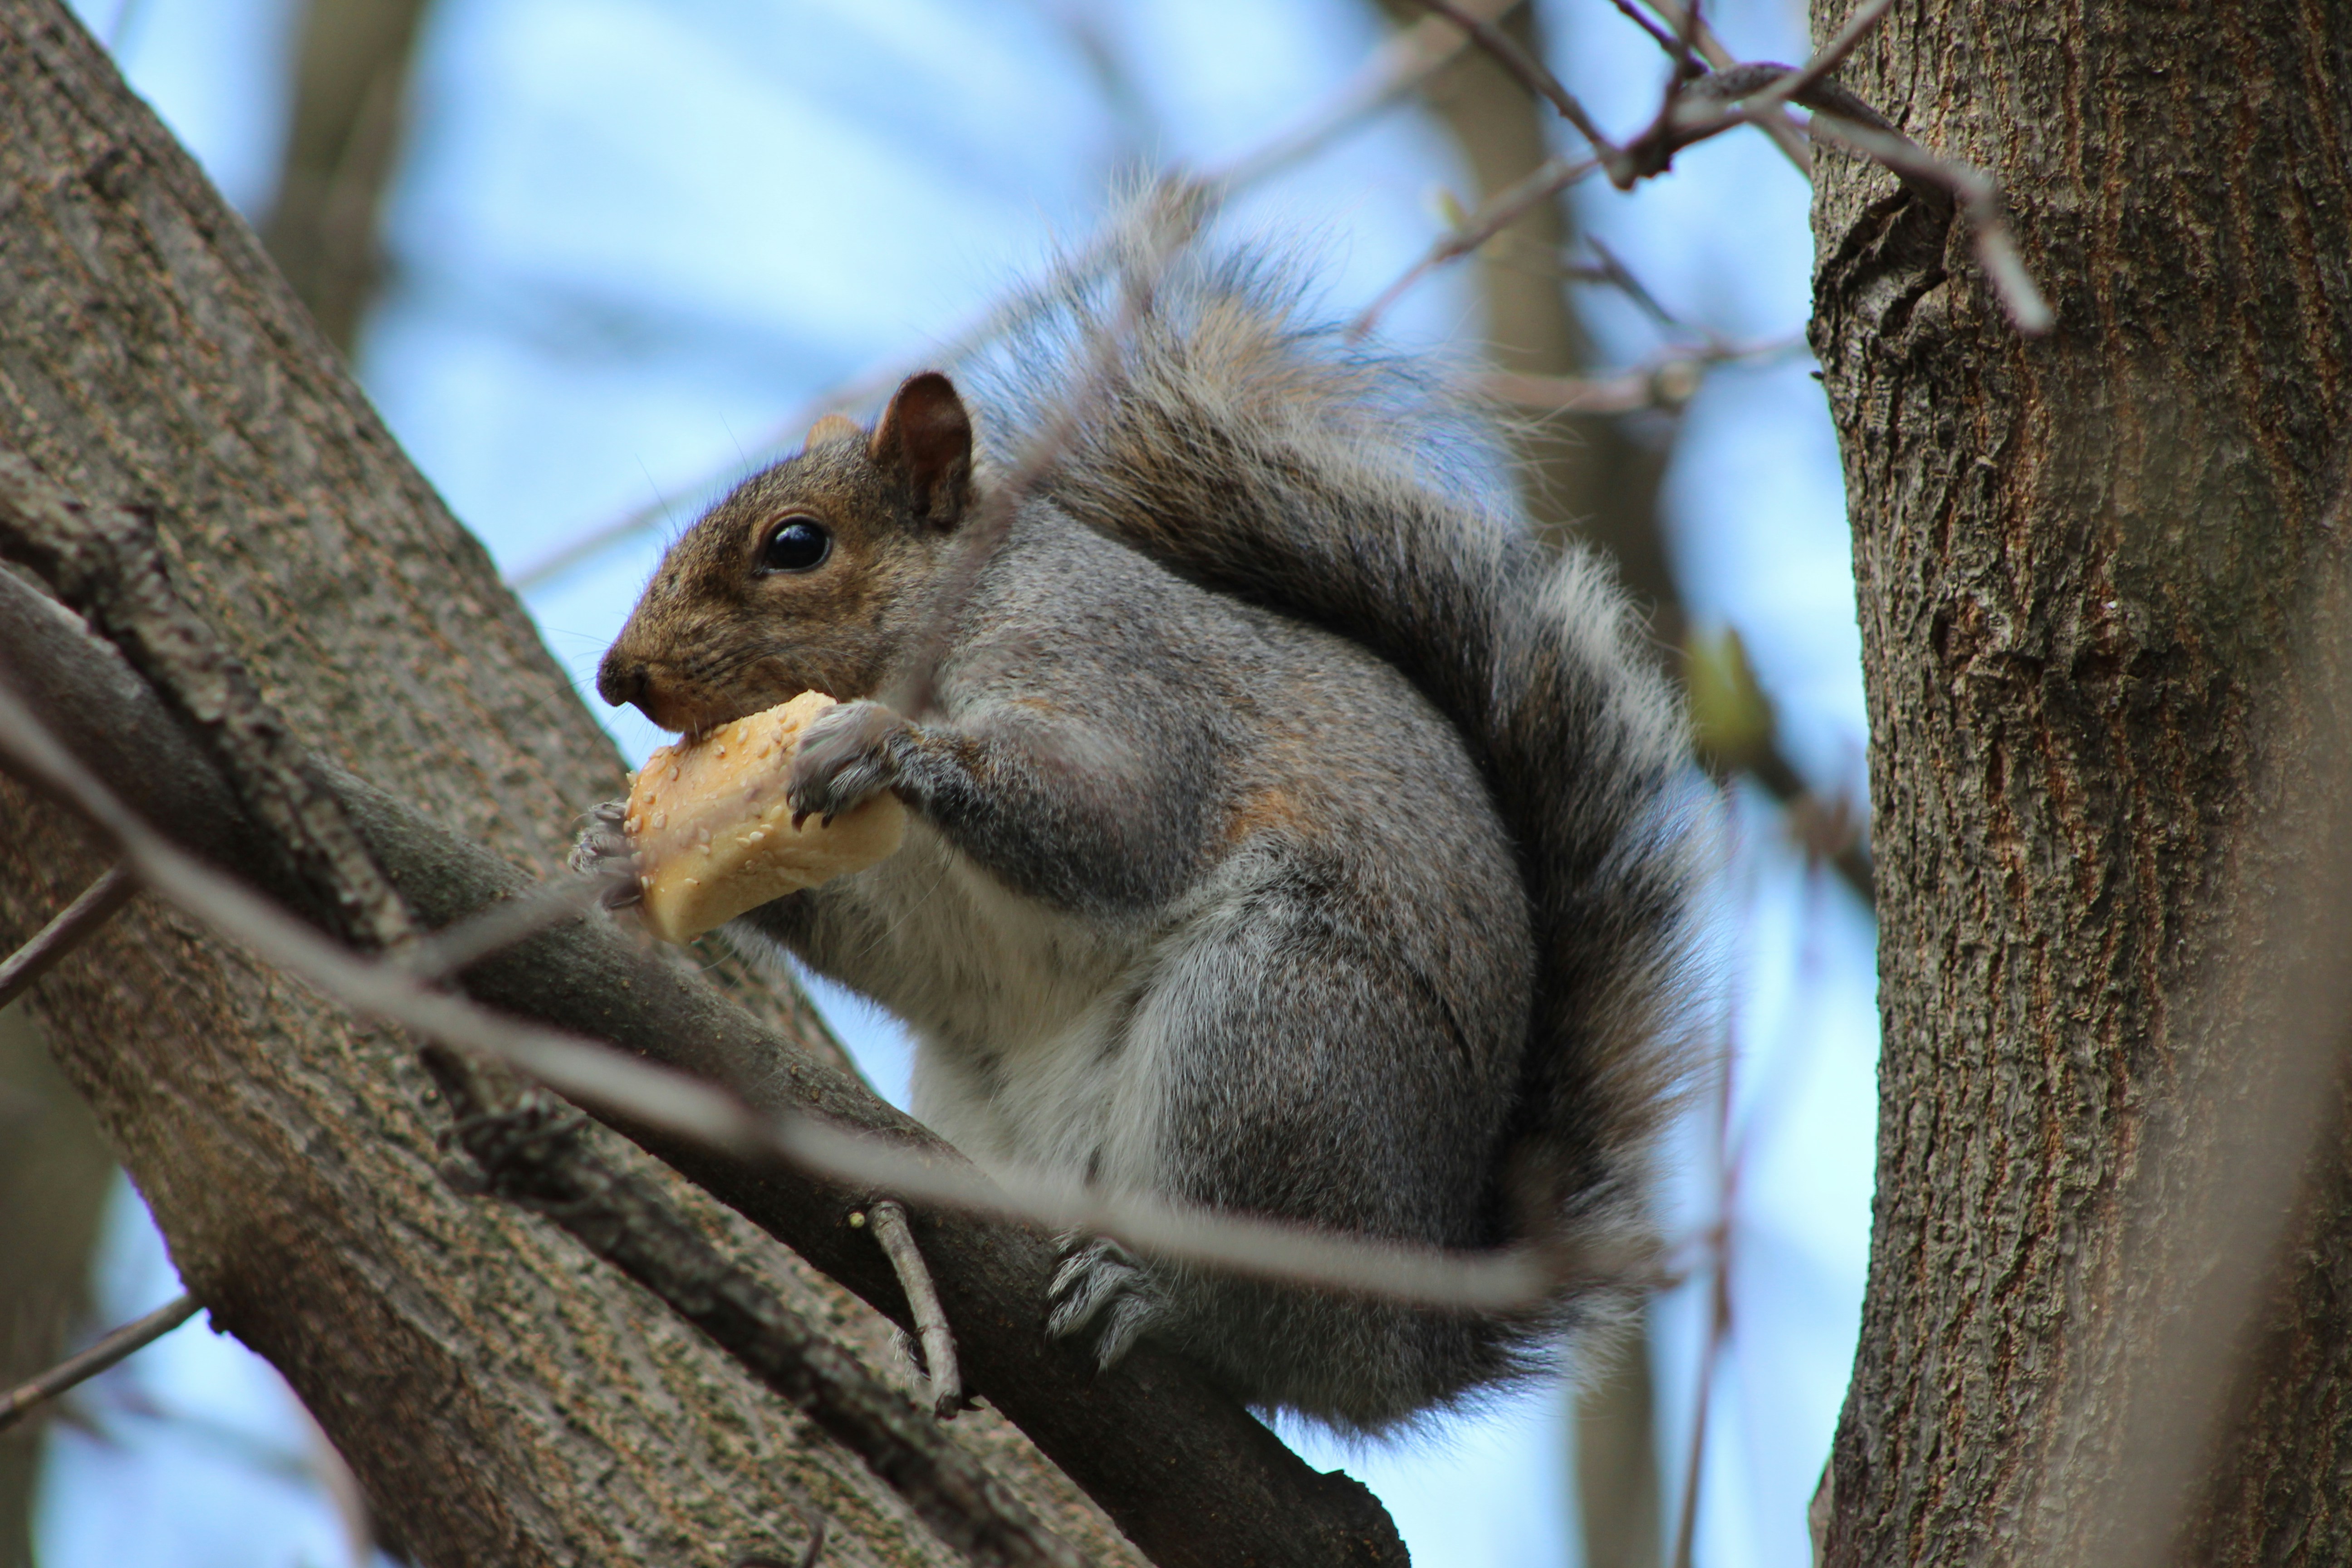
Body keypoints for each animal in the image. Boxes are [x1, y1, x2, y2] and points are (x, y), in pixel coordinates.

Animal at [574, 226, 1706, 1434]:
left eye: (795, 544)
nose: (617, 675)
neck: (946, 623)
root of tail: (1407, 1342)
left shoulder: (1125, 678)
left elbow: (1120, 819)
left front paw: (888, 746)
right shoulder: (914, 897)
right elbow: (891, 942)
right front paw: (615, 854)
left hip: (1274, 1045)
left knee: (1253, 1311)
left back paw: (1154, 1294)